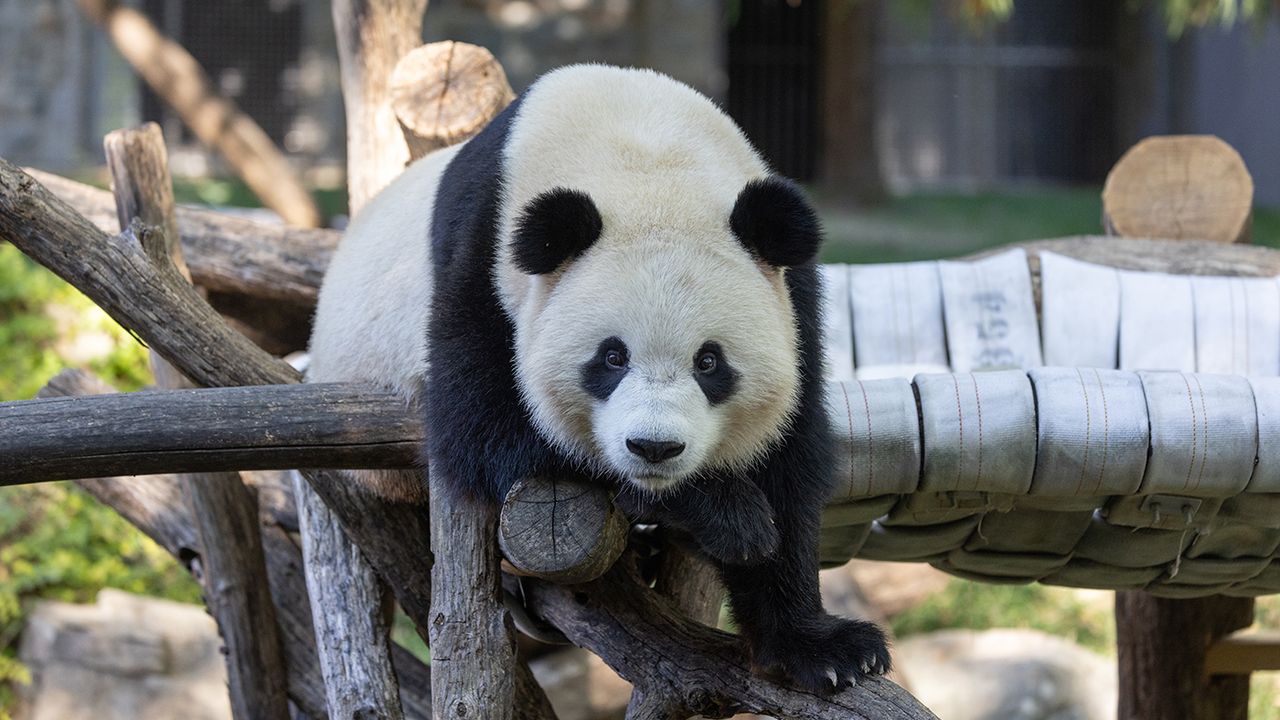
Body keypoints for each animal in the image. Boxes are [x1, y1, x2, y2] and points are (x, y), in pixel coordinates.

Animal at [308, 64, 890, 693]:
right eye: (612, 358)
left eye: (709, 362)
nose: (654, 448)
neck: (643, 153)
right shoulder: (482, 259)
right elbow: (484, 429)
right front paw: (728, 516)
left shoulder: (791, 296)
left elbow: (789, 458)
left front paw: (824, 647)